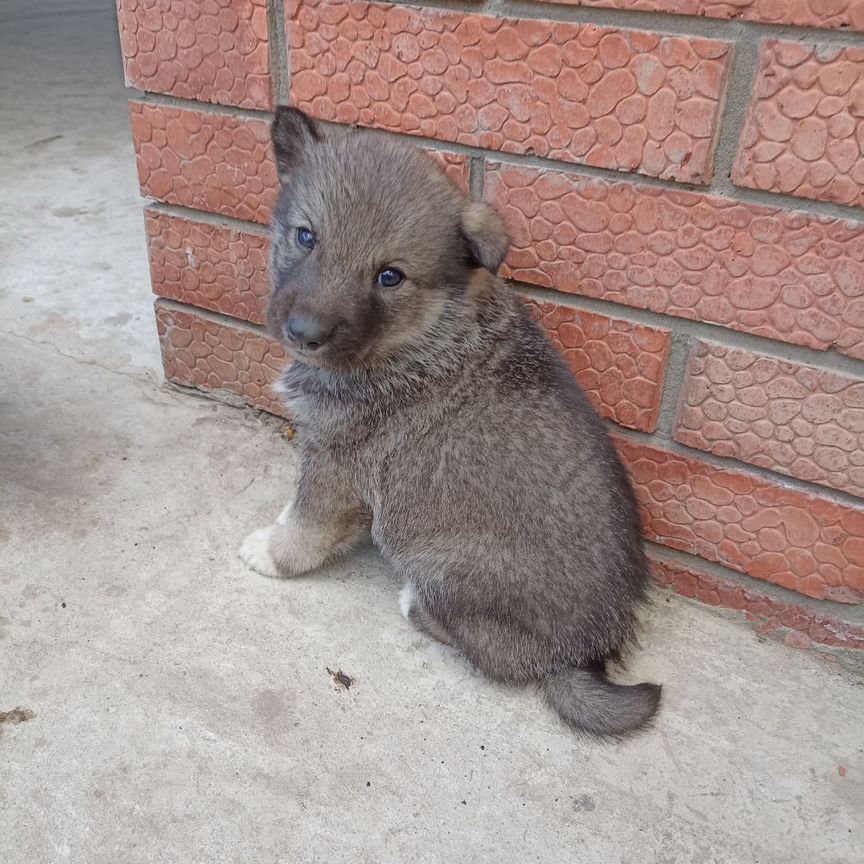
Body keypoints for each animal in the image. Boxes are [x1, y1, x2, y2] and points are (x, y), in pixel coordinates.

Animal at [243, 108, 660, 740]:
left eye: (389, 277)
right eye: (306, 237)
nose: (304, 334)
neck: (420, 332)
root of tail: (582, 656)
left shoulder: (337, 463)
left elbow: (306, 523)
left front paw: (273, 553)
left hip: (447, 562)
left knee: (502, 655)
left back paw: (415, 605)